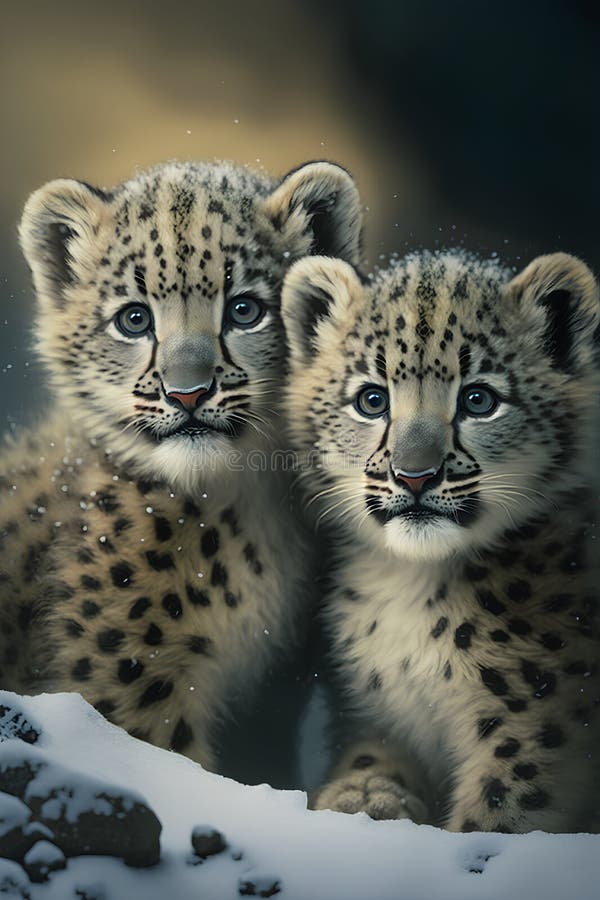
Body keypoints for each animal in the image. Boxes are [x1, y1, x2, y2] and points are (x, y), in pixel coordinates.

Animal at [280, 248, 600, 832]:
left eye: (478, 399)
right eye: (371, 399)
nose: (414, 476)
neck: (410, 587)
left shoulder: (544, 722)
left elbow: (507, 806)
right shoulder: (381, 713)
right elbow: (374, 755)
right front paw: (366, 798)